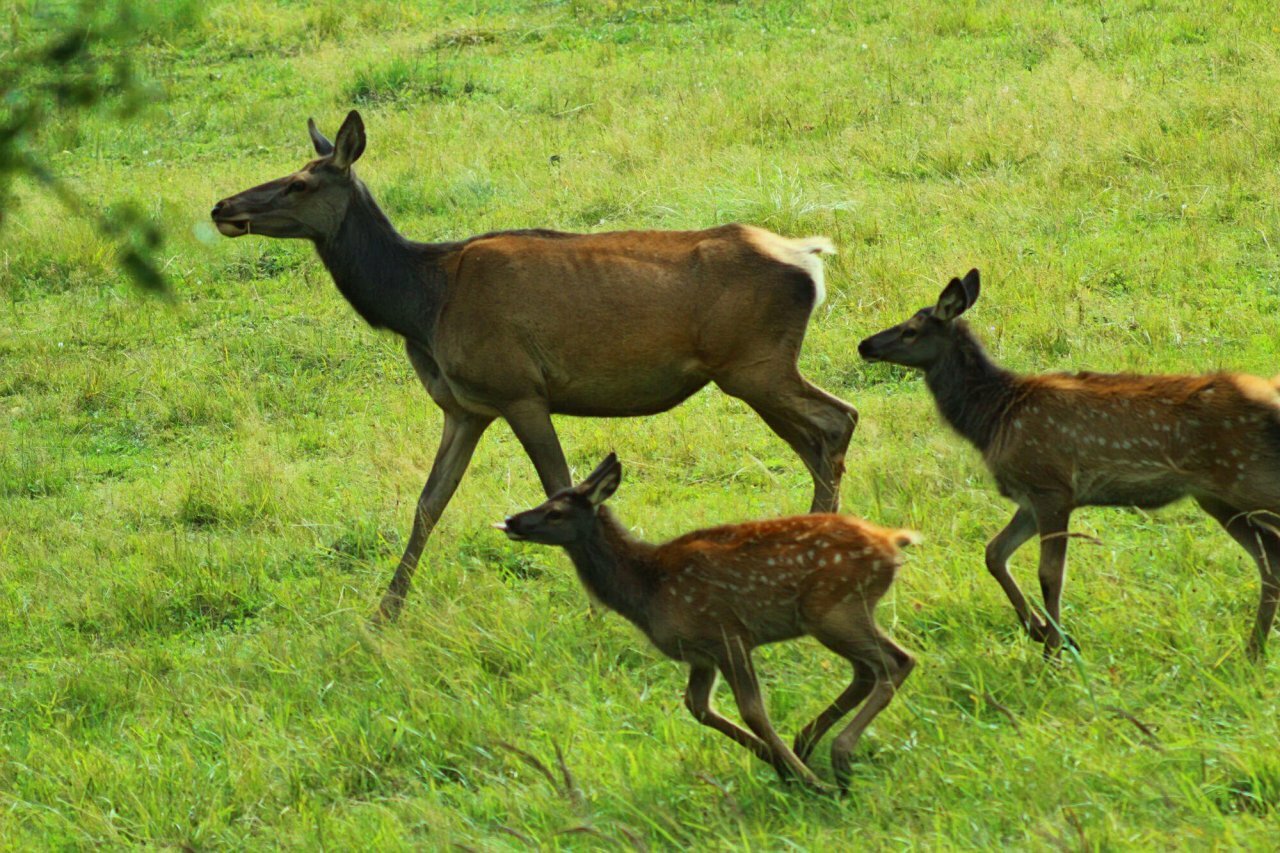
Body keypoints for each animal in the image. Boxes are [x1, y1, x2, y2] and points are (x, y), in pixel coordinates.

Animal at [212, 111, 860, 617]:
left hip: (754, 364)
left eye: (299, 183)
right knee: (816, 442)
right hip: (754, 371)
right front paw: (383, 615)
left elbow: (560, 485)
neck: (423, 305)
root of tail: (810, 259)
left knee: (839, 420)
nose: (222, 206)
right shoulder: (465, 408)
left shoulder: (519, 390)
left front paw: (598, 608)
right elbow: (428, 504)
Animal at [494, 448, 916, 788]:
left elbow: (752, 710)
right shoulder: (699, 654)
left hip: (833, 608)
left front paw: (806, 779)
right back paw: (807, 742)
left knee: (897, 660)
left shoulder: (725, 632)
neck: (646, 589)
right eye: (546, 499)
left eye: (555, 512)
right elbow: (697, 707)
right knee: (868, 670)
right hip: (839, 614)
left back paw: (839, 754)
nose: (511, 521)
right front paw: (777, 762)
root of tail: (892, 544)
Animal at [855, 268, 1280, 653]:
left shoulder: (1052, 487)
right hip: (1218, 498)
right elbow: (994, 553)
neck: (994, 419)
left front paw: (1055, 649)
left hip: (1250, 478)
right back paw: (1253, 651)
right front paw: (1038, 629)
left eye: (911, 330)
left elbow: (1049, 575)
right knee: (1270, 559)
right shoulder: (1030, 496)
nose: (864, 345)